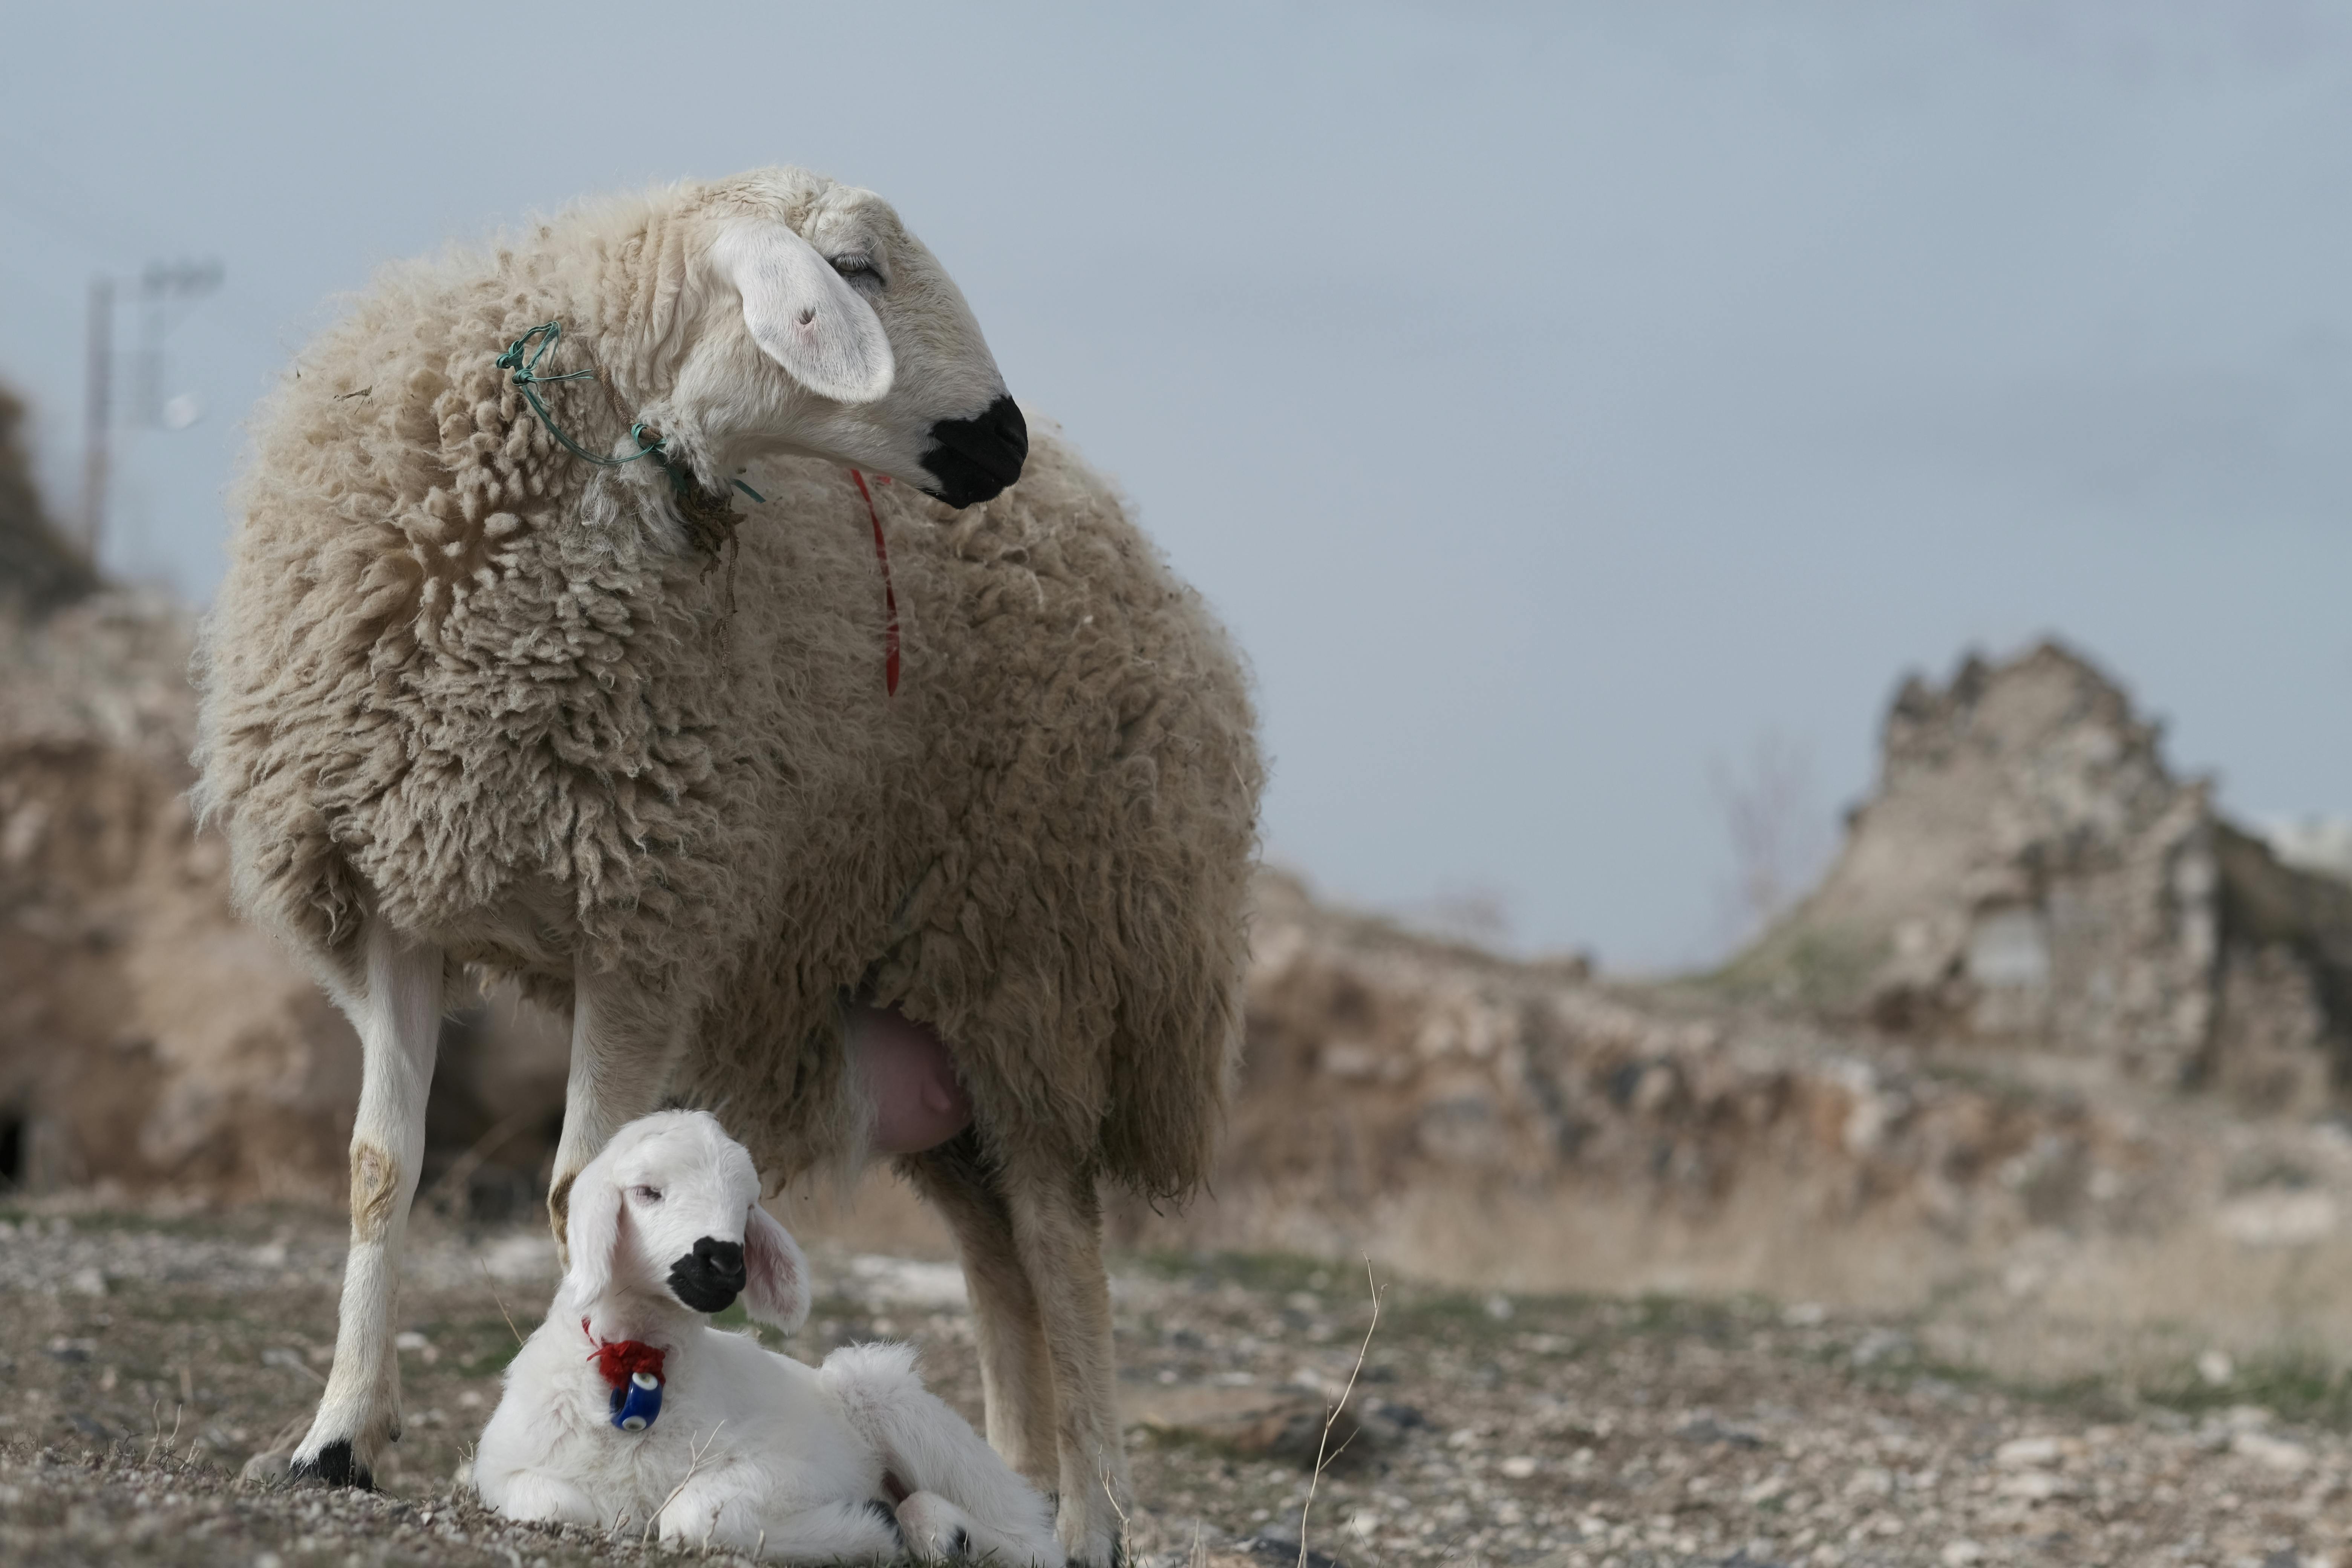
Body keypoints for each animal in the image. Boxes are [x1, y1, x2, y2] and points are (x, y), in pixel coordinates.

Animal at [476, 1109, 1064, 1564]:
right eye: (647, 1191)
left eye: (748, 1205)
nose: (725, 1261)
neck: (639, 1366)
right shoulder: (500, 1471)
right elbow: (553, 1502)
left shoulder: (796, 1464)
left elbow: (693, 1513)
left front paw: (872, 1526)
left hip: (894, 1402)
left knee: (1032, 1538)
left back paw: (941, 1529)